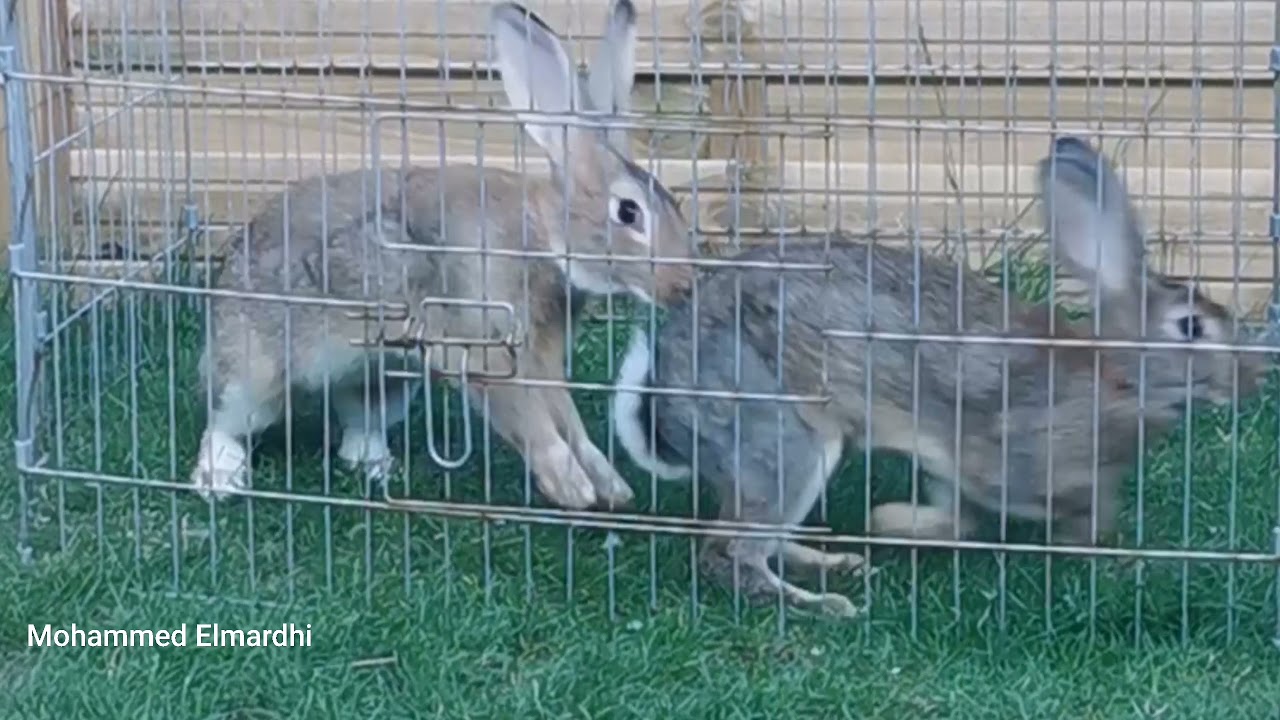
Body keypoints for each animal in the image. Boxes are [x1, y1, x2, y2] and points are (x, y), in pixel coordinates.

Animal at [189, 0, 696, 511]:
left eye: (673, 202)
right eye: (628, 212)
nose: (683, 285)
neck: (544, 236)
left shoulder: (543, 361)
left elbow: (568, 419)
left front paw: (611, 489)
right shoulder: (485, 350)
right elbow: (533, 425)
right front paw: (571, 487)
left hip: (384, 382)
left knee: (360, 424)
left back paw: (379, 469)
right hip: (253, 372)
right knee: (224, 421)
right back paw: (219, 482)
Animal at [610, 135, 1266, 618]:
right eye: (1192, 327)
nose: (1251, 379)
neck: (1122, 374)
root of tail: (668, 391)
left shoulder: (958, 468)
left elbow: (962, 518)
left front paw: (892, 524)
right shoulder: (1012, 463)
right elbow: (1037, 516)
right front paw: (1109, 555)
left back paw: (833, 561)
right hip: (785, 437)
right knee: (730, 553)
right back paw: (825, 604)